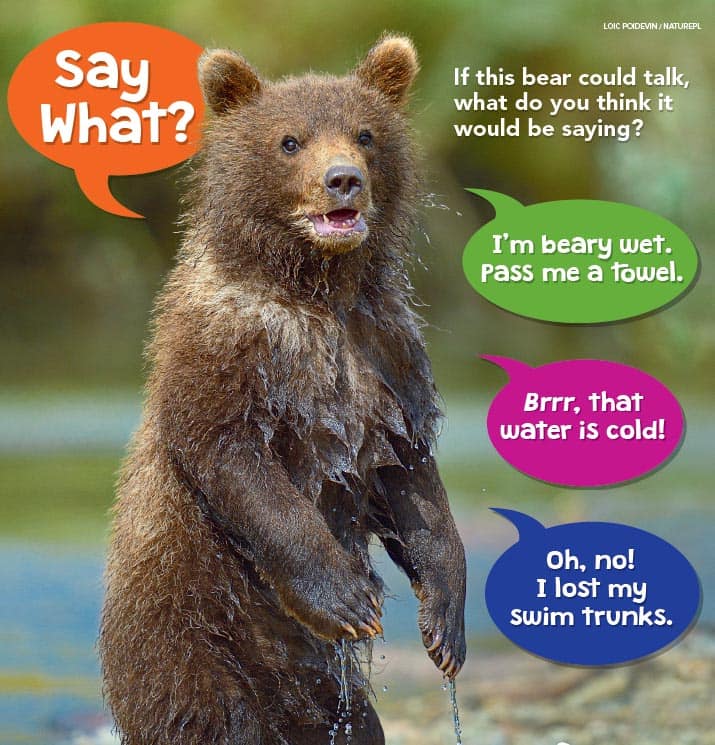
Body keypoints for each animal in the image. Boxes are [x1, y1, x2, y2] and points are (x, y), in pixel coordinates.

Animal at [100, 35, 466, 745]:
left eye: (365, 133)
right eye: (290, 141)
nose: (343, 178)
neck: (312, 289)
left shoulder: (386, 353)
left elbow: (410, 477)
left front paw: (445, 621)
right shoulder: (226, 347)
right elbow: (234, 460)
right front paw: (348, 597)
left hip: (325, 692)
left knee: (355, 725)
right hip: (191, 635)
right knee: (205, 713)